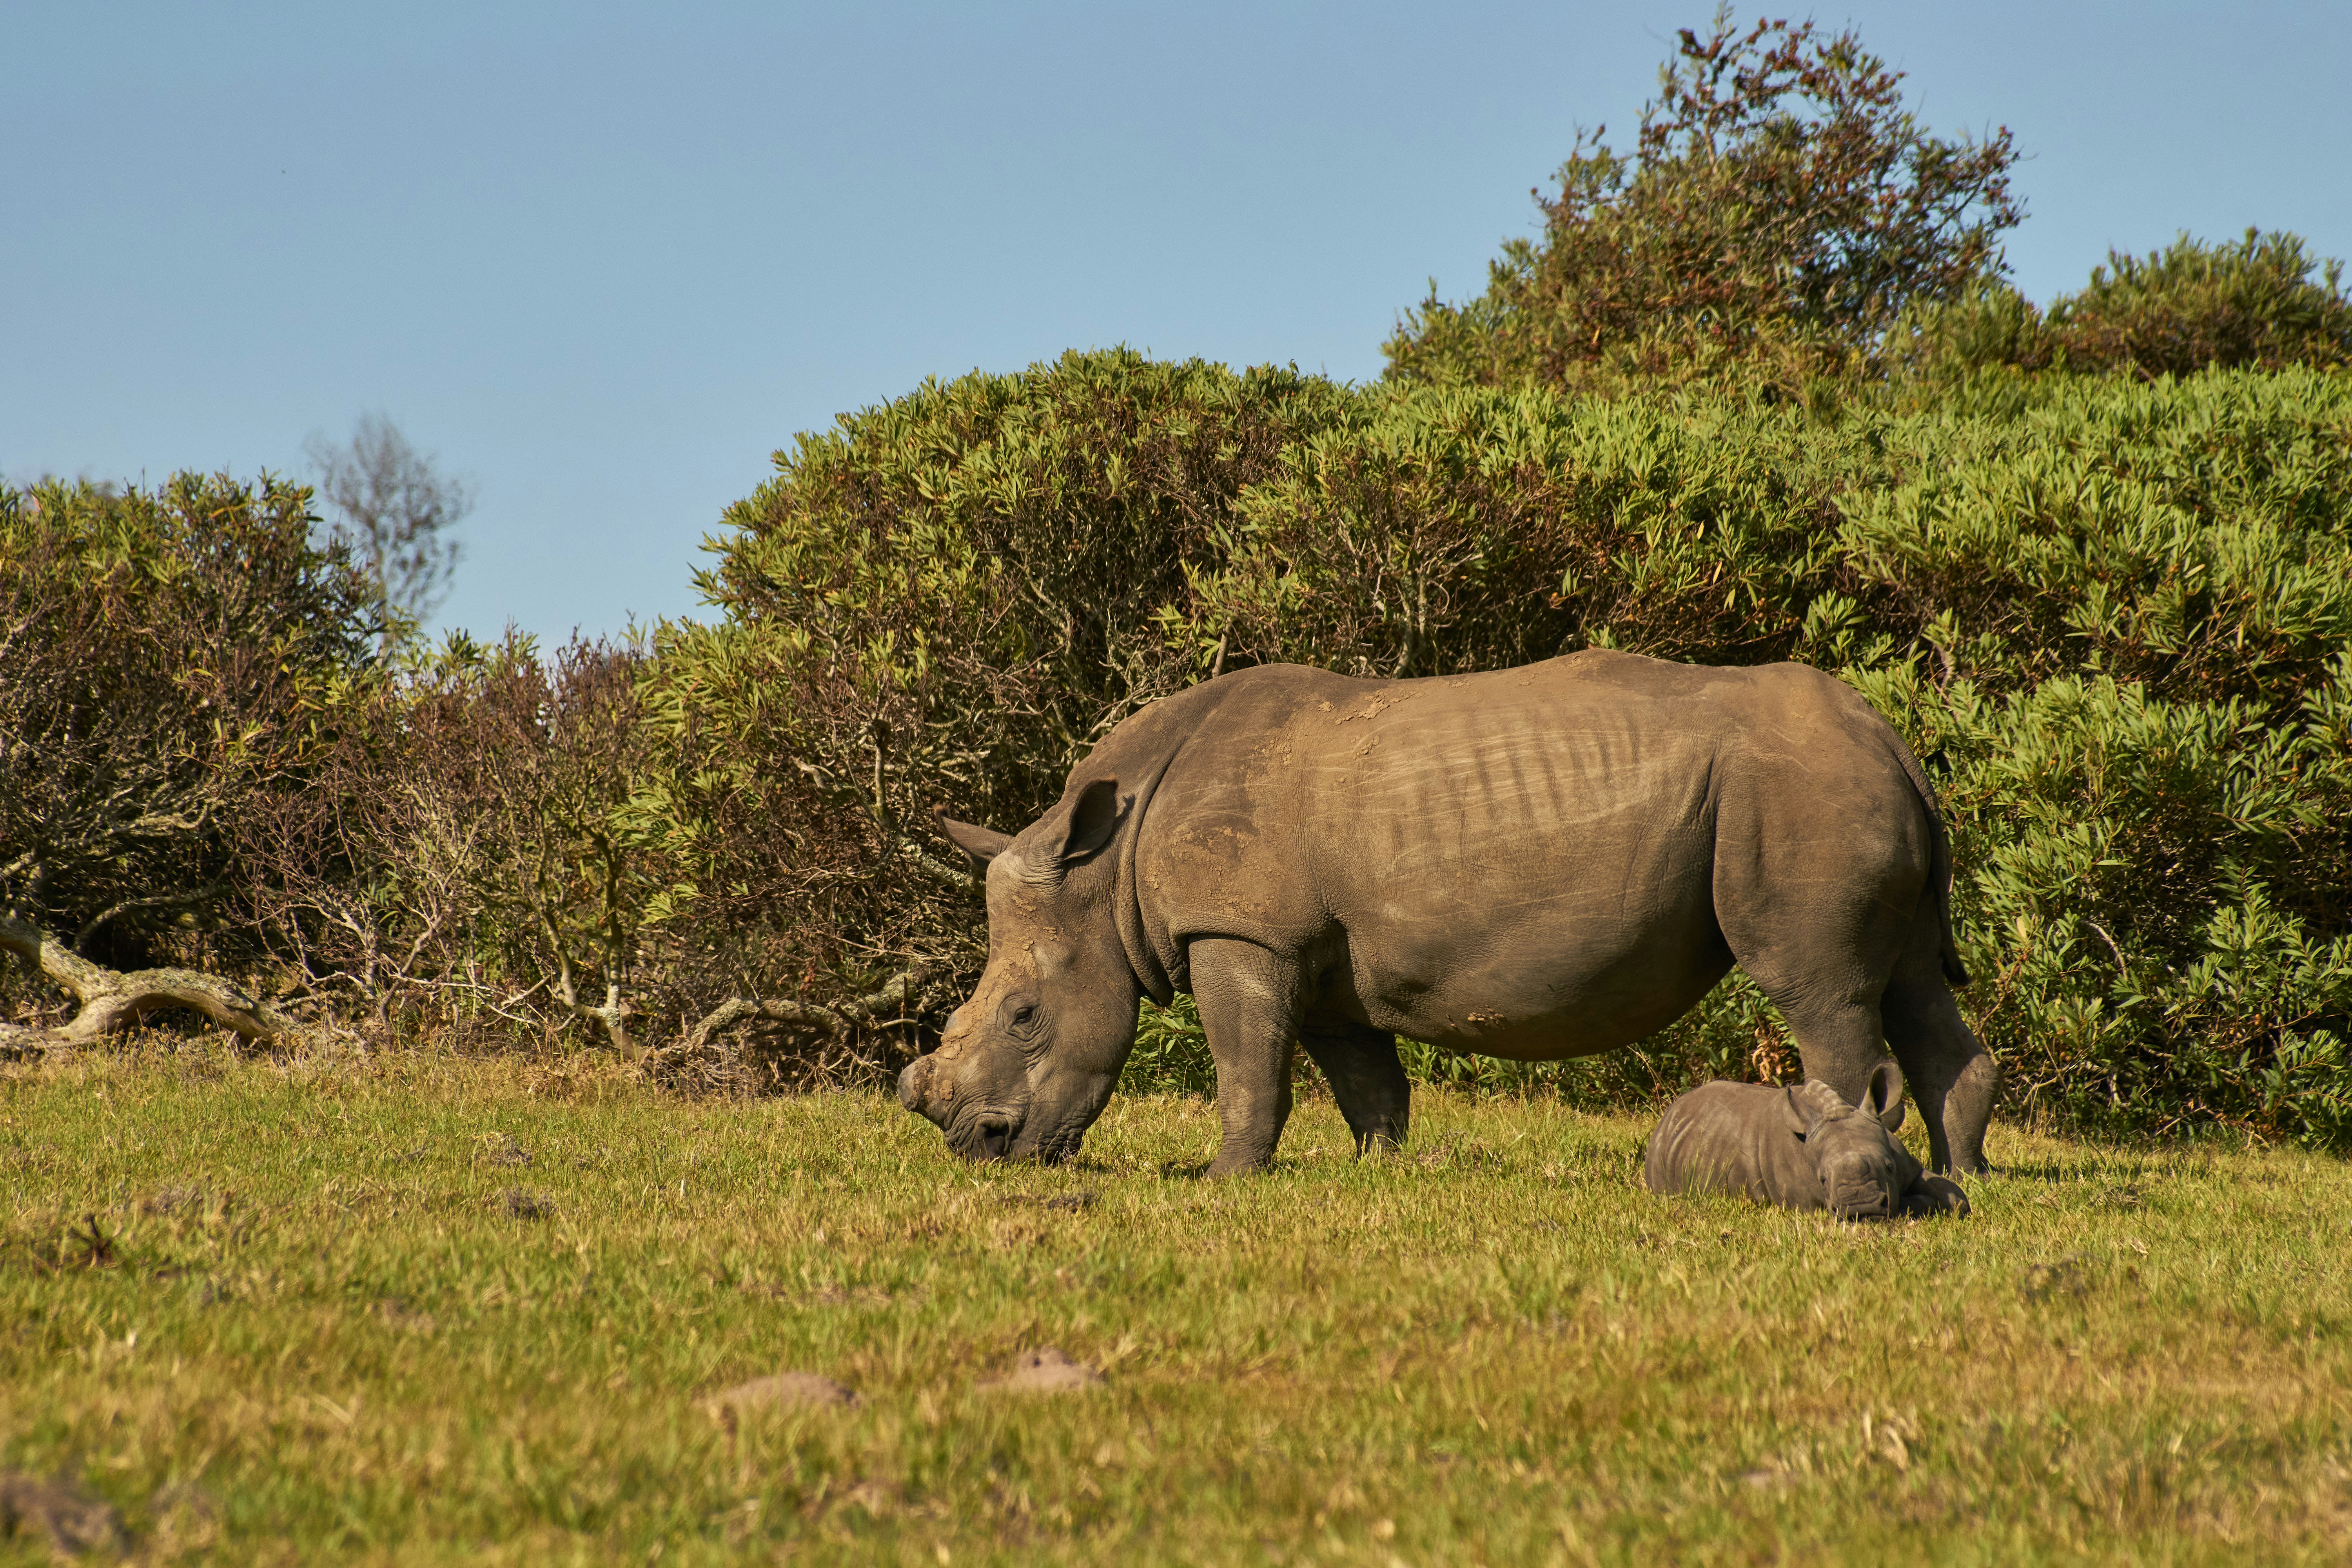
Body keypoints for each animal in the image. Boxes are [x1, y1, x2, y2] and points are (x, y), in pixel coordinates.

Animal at [899, 650, 1999, 1178]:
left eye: (1025, 1017)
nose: (976, 1148)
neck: (1106, 863)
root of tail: (1892, 737)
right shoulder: (1316, 950)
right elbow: (1362, 1076)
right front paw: (1380, 1170)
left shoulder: (1240, 930)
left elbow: (1247, 1065)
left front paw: (1219, 1177)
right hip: (1841, 785)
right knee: (1908, 981)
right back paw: (1967, 1173)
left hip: (1797, 793)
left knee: (1819, 986)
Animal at [1644, 1062, 1971, 1219]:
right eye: (1822, 1180)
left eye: (1889, 1167)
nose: (1861, 1209)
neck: (1835, 1110)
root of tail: (1670, 1114)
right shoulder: (1808, 1204)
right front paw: (1914, 1204)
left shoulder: (1907, 1162)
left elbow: (1953, 1195)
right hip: (1659, 1158)